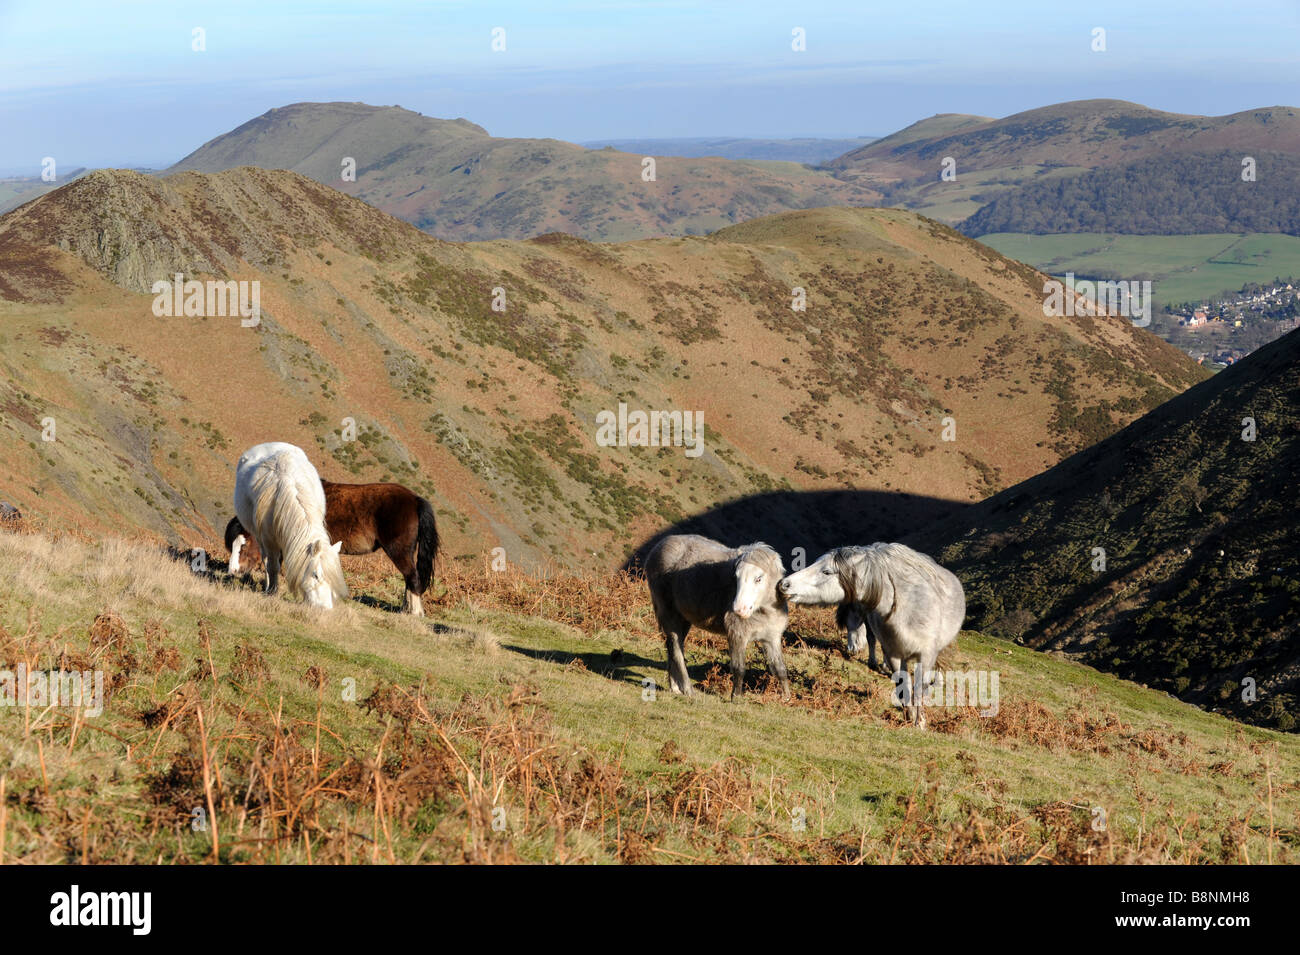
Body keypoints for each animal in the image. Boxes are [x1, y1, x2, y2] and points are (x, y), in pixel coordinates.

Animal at [225, 480, 439, 616]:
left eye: (244, 544)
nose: (233, 570)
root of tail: (415, 500)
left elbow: (274, 564)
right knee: (409, 579)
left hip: (398, 551)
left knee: (412, 578)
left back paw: (415, 613)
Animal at [233, 442, 348, 610]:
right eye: (315, 575)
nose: (324, 609)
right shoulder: (269, 540)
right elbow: (272, 566)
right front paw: (272, 591)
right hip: (260, 537)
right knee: (267, 560)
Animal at [643, 534, 790, 701]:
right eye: (736, 578)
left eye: (758, 578)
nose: (739, 609)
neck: (765, 611)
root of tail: (658, 546)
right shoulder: (737, 635)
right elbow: (739, 668)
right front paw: (736, 698)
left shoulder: (771, 638)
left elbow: (780, 669)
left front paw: (786, 698)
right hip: (669, 613)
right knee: (676, 649)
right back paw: (687, 689)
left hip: (683, 618)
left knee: (672, 646)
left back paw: (674, 687)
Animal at [779, 543, 964, 728]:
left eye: (826, 571)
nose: (784, 584)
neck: (907, 609)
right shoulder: (894, 654)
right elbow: (902, 686)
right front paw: (910, 716)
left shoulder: (925, 655)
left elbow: (919, 688)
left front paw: (920, 722)